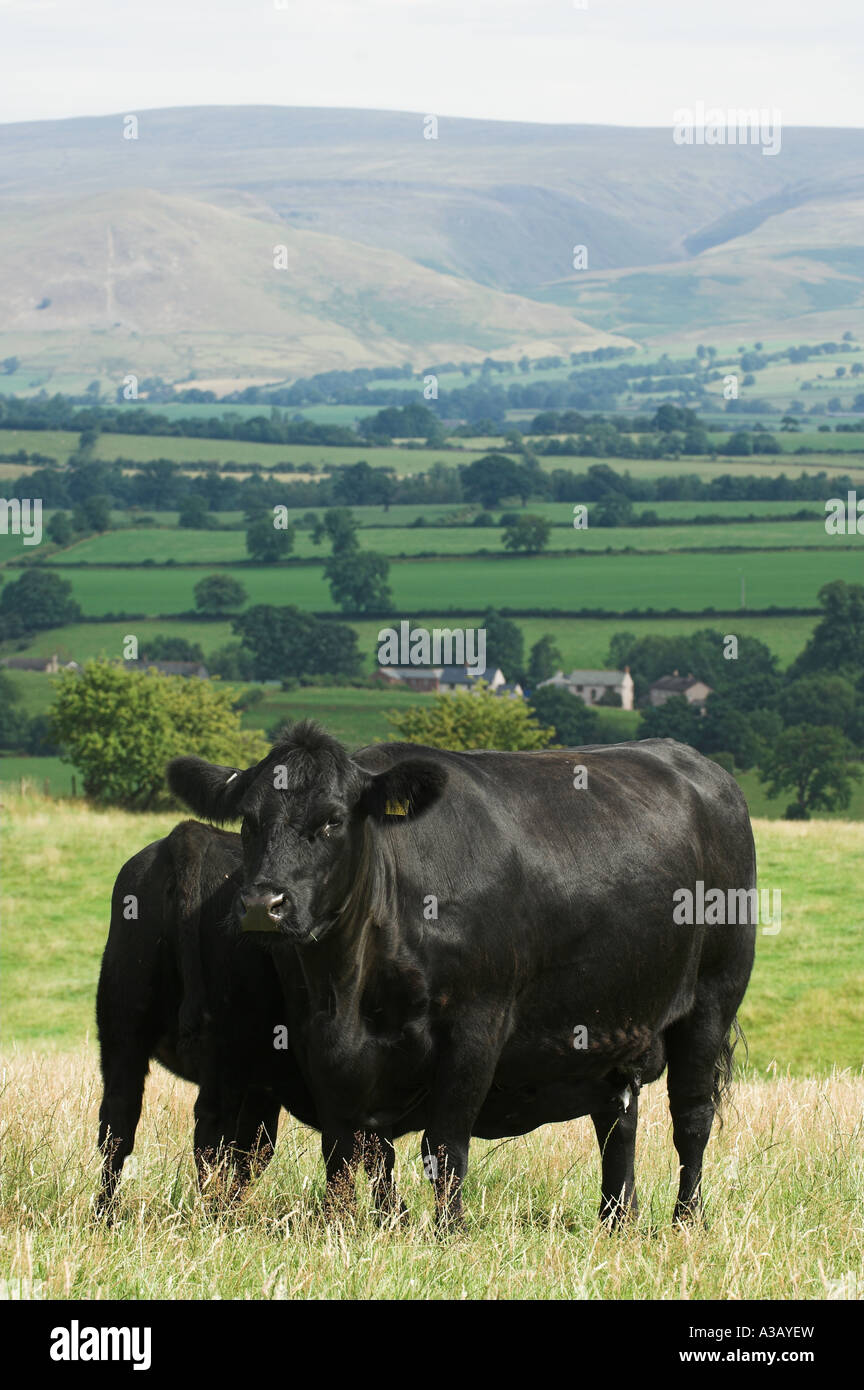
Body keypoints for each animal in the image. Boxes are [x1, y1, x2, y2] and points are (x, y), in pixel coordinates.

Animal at [168, 722, 757, 1228]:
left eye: (332, 820)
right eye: (248, 821)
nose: (261, 905)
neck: (350, 982)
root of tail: (696, 762)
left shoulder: (477, 1025)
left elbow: (444, 1147)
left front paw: (448, 1232)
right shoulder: (320, 1041)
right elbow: (349, 1147)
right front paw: (352, 1225)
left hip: (714, 994)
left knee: (692, 1116)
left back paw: (686, 1219)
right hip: (613, 1018)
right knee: (618, 1120)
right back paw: (616, 1219)